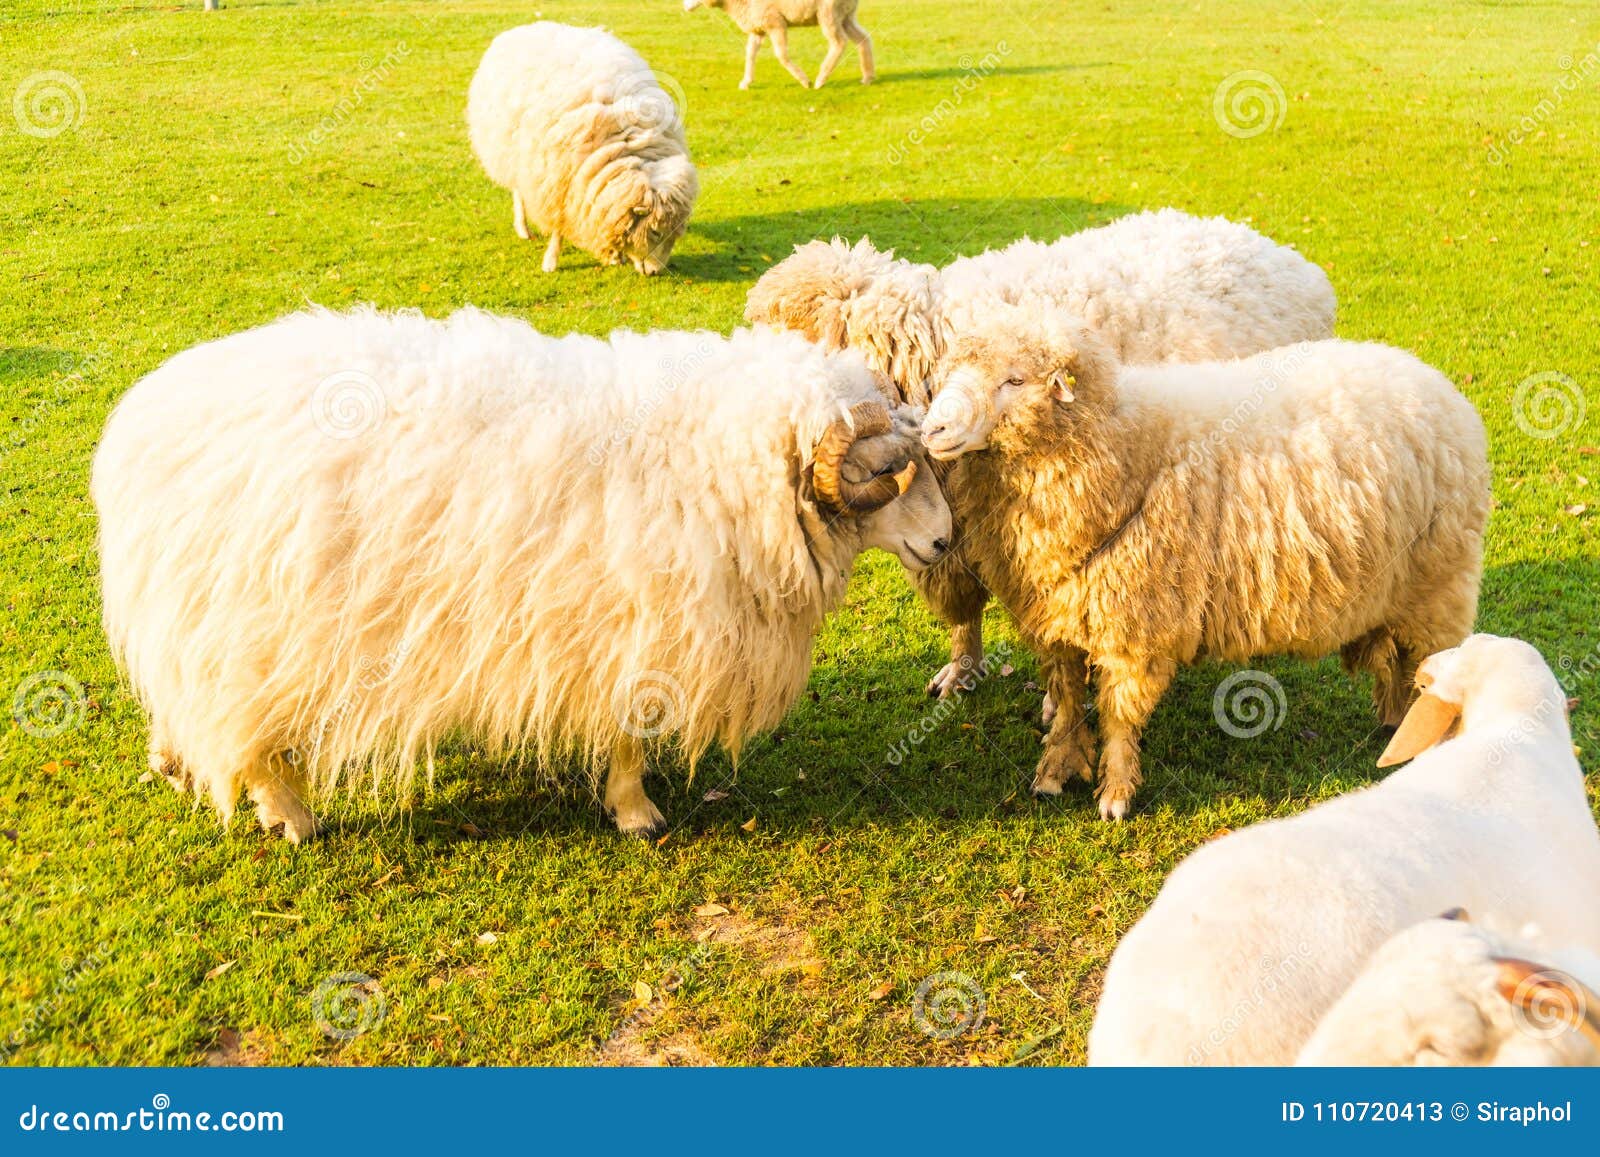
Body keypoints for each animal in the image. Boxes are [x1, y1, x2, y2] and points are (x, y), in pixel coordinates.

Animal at [92, 307, 951, 841]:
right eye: (886, 469)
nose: (945, 541)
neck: (710, 464)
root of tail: (140, 421)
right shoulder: (631, 632)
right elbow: (629, 734)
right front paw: (636, 811)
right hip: (249, 630)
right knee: (244, 732)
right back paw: (292, 816)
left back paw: (173, 764)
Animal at [467, 22, 698, 275]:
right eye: (655, 231)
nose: (656, 272)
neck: (627, 141)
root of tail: (526, 27)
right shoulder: (560, 183)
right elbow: (558, 227)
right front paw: (551, 261)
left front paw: (616, 256)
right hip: (513, 155)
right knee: (518, 192)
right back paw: (523, 228)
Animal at [685, 0, 874, 90]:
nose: (685, 7)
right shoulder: (758, 27)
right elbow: (750, 53)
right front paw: (746, 82)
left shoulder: (775, 22)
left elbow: (781, 54)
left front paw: (804, 81)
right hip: (845, 14)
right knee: (863, 38)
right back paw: (868, 77)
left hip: (829, 13)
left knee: (839, 42)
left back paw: (821, 79)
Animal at [919, 307, 1489, 820]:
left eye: (1014, 380)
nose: (932, 429)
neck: (1123, 443)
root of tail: (1433, 380)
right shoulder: (1058, 612)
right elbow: (1066, 695)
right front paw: (1055, 771)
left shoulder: (1135, 621)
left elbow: (1119, 714)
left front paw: (1115, 794)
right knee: (1398, 664)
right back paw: (1394, 725)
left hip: (1438, 586)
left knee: (1423, 668)